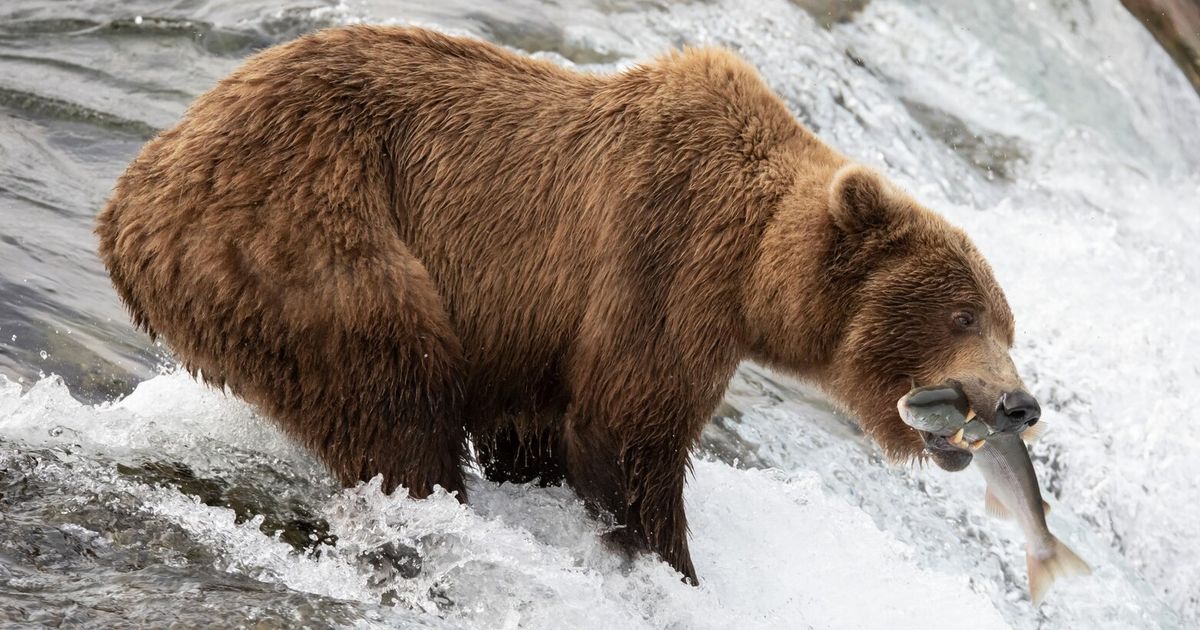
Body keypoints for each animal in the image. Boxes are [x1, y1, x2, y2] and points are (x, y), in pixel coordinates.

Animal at [95, 25, 1040, 583]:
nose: (1018, 404)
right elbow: (629, 434)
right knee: (393, 393)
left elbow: (540, 430)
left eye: (1007, 322)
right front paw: (670, 567)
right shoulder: (662, 262)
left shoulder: (539, 334)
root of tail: (131, 197)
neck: (753, 271)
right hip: (305, 232)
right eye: (963, 314)